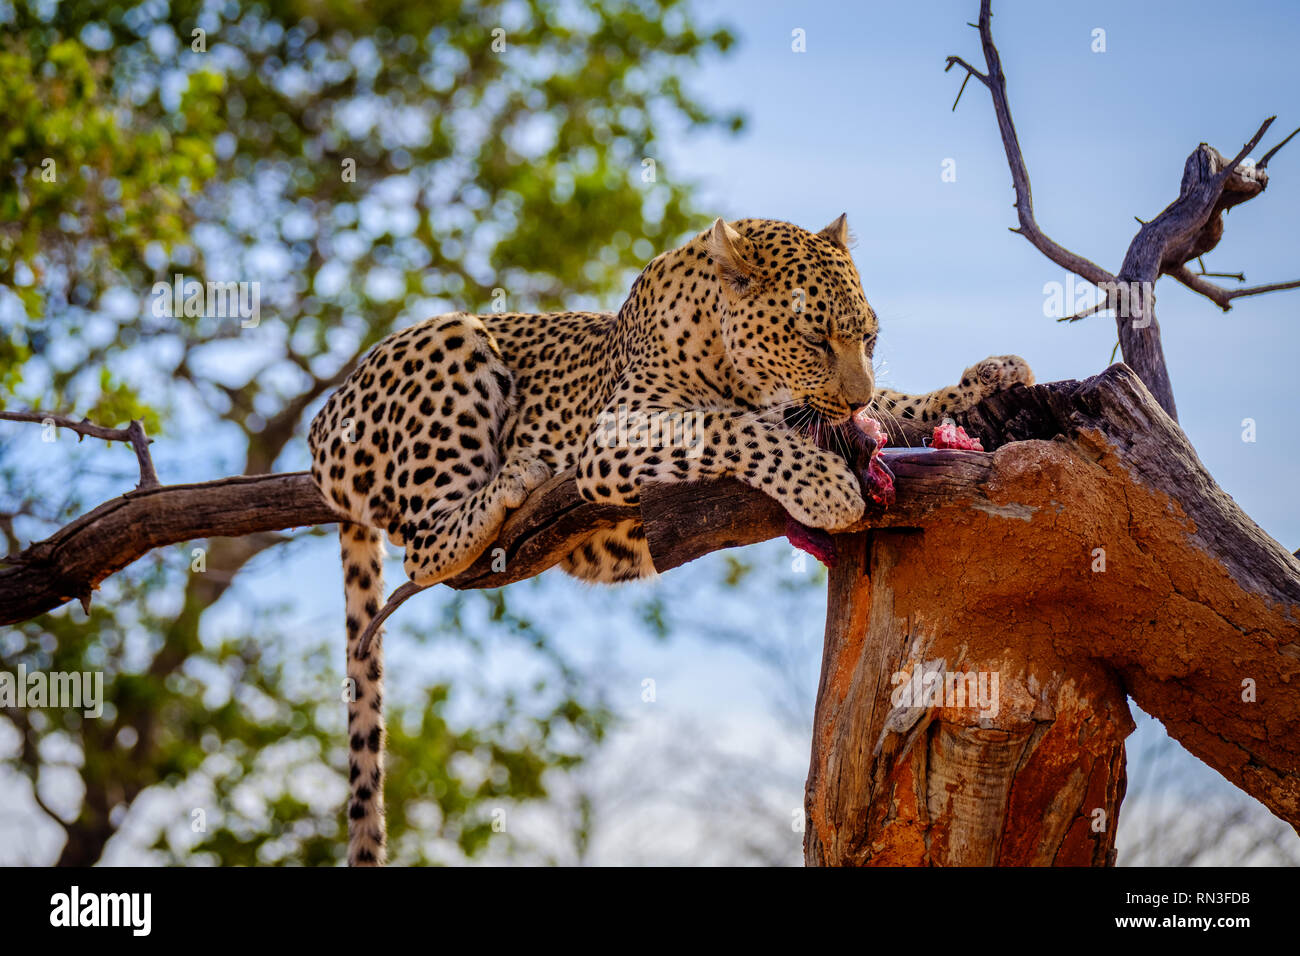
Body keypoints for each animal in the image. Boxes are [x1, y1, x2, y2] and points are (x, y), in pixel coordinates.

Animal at [307, 215, 1033, 865]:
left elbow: (898, 406)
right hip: (451, 339)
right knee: (424, 546)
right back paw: (516, 475)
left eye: (870, 339)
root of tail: (320, 425)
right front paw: (824, 485)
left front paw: (986, 379)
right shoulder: (615, 436)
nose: (854, 404)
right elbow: (730, 427)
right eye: (815, 339)